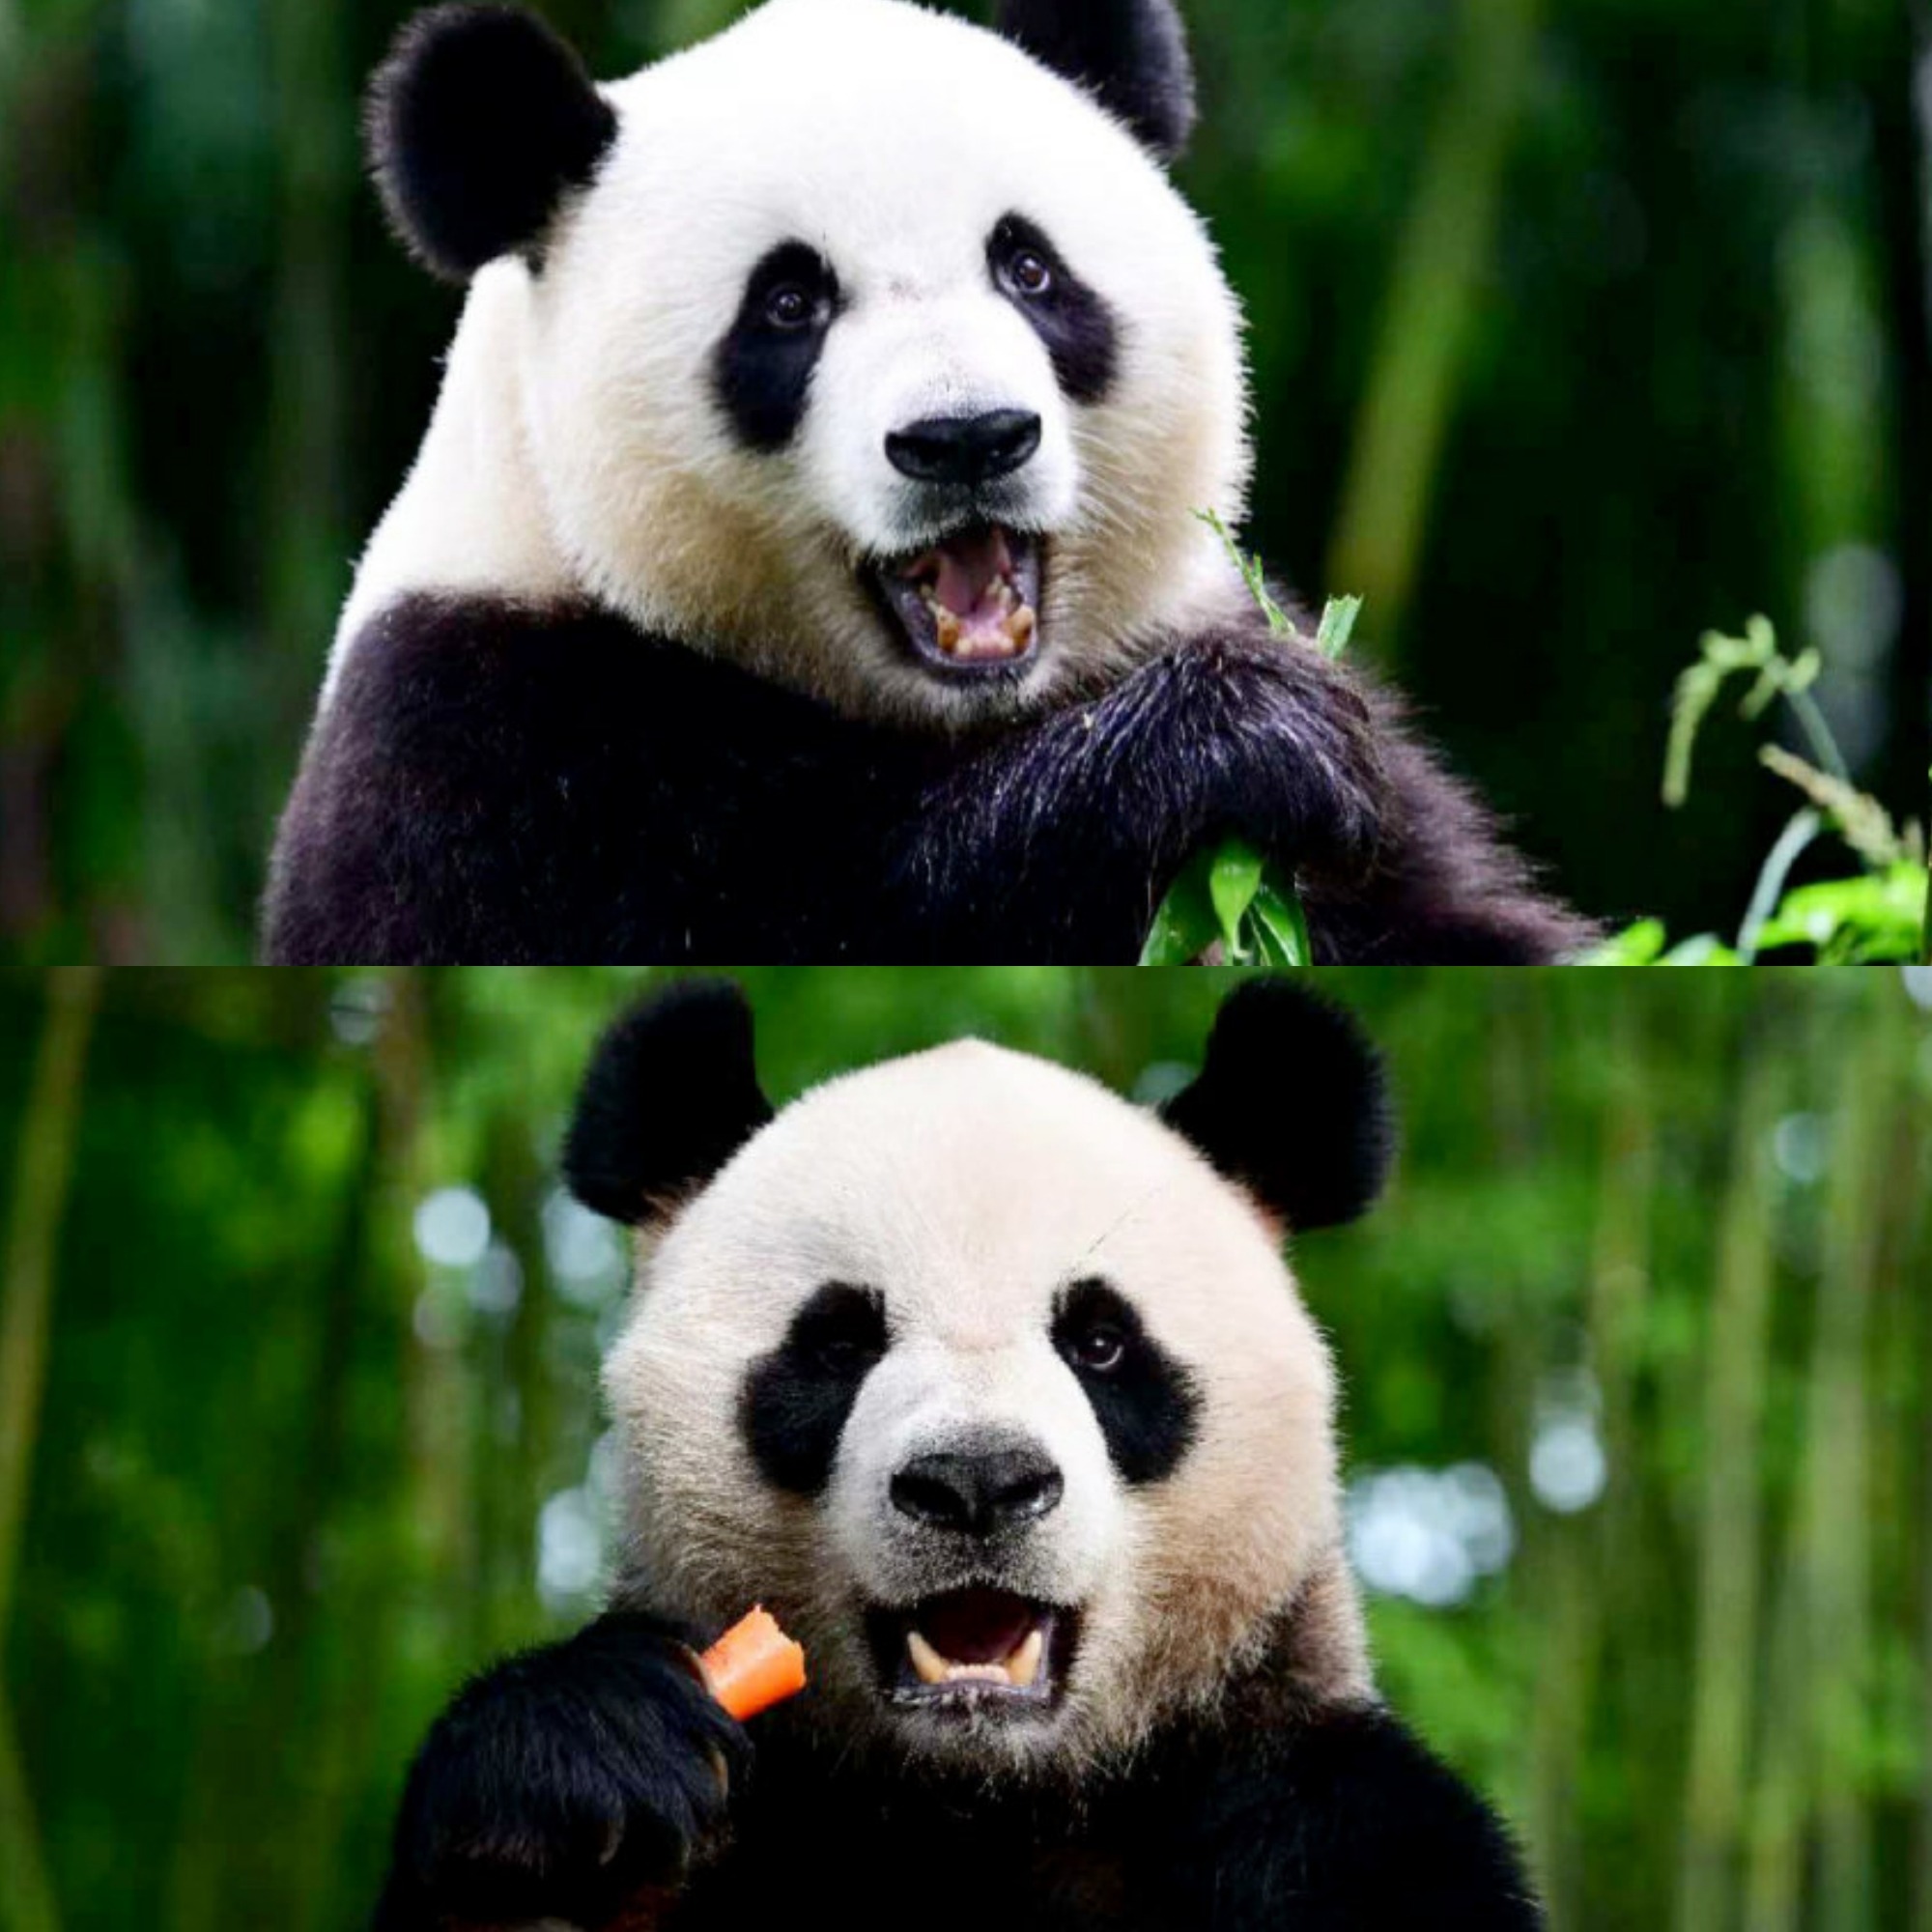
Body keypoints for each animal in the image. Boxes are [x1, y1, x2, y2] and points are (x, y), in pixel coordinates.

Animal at [262, 0, 1592, 967]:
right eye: (787, 303)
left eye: (1027, 266)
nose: (966, 438)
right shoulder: (479, 746)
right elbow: (843, 908)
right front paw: (1235, 739)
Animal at [371, 977, 1543, 1930]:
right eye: (838, 1341)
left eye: (1100, 1341)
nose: (977, 1482)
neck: (979, 1803)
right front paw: (574, 1772)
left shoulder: (1327, 1825)